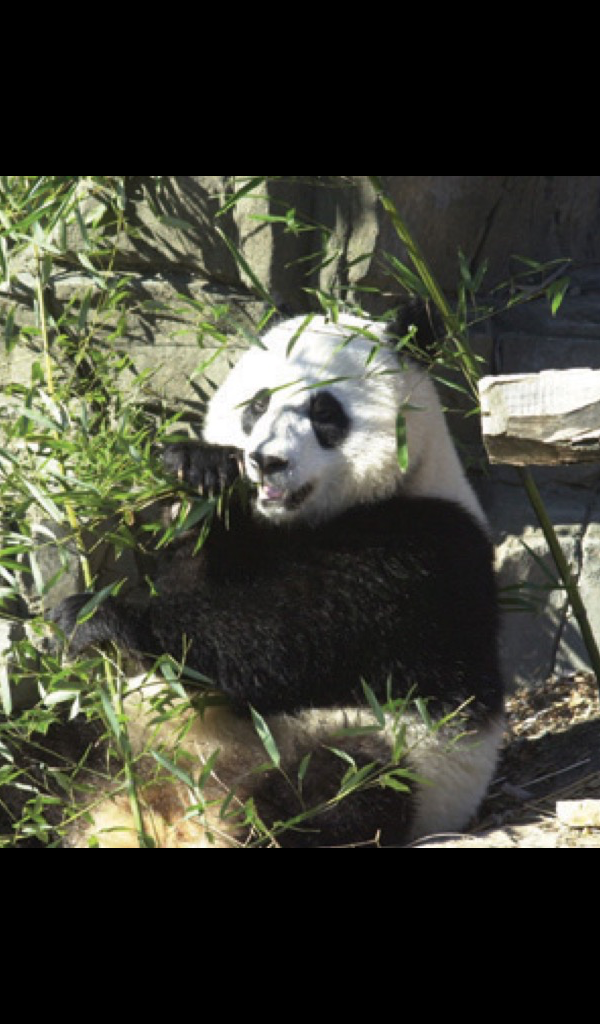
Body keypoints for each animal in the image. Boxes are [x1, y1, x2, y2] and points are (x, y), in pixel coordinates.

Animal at [51, 313, 504, 848]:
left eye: (324, 412)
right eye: (258, 404)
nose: (267, 461)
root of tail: (174, 799)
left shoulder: (423, 549)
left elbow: (284, 636)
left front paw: (102, 616)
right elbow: (191, 579)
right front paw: (197, 469)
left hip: (393, 750)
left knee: (338, 790)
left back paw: (240, 820)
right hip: (113, 726)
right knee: (59, 749)